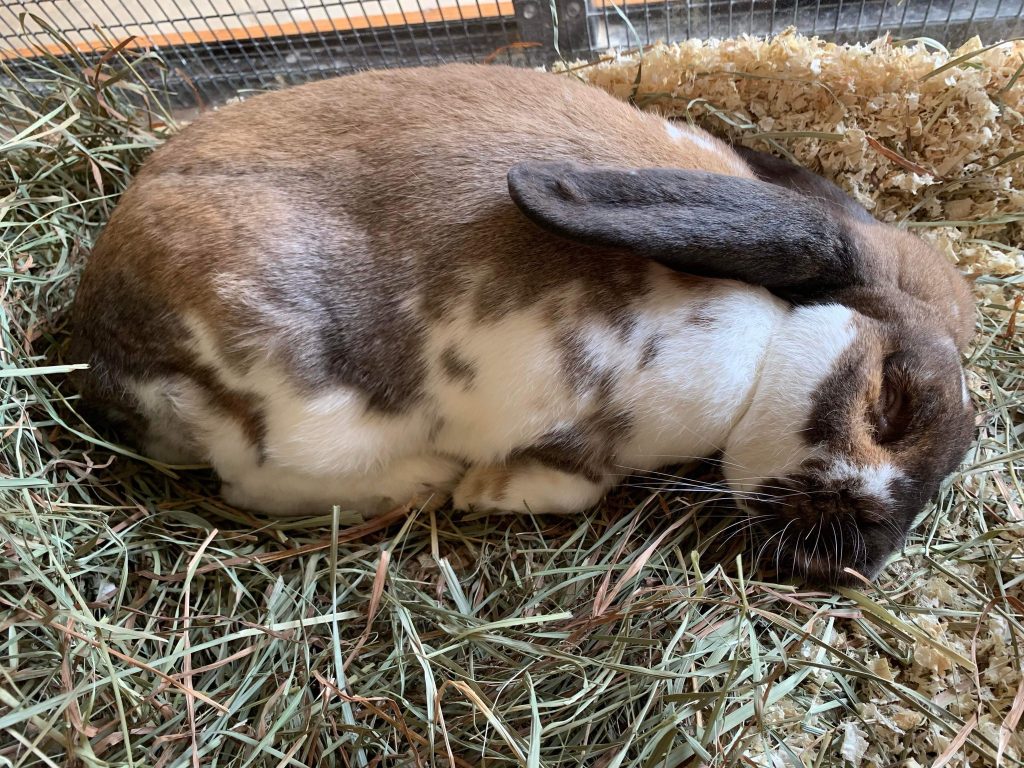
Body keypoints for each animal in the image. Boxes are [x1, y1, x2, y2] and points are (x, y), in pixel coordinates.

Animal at [70, 63, 976, 583]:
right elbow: (575, 480)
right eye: (894, 405)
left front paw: (494, 489)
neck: (770, 344)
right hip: (297, 389)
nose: (856, 566)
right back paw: (427, 479)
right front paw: (487, 490)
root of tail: (104, 348)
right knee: (255, 479)